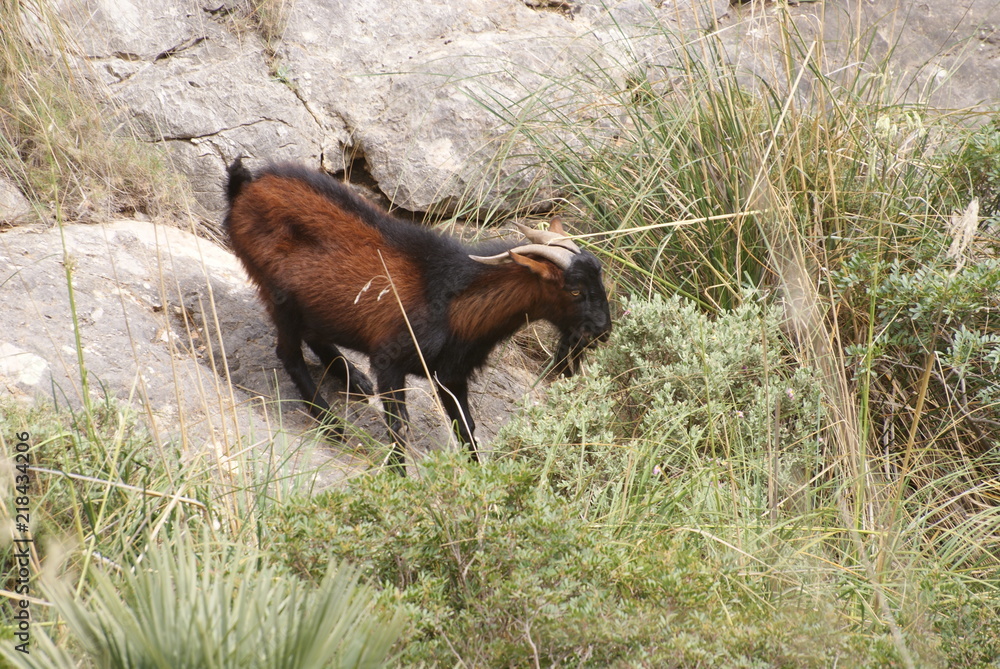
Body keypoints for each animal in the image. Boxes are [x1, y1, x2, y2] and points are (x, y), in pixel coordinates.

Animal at [223, 157, 611, 474]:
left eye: (600, 277)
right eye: (574, 290)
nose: (602, 330)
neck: (451, 300)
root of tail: (246, 184)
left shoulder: (451, 375)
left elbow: (466, 428)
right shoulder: (389, 361)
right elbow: (400, 428)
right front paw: (397, 479)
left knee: (314, 335)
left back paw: (351, 379)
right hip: (280, 295)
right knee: (288, 352)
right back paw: (331, 423)